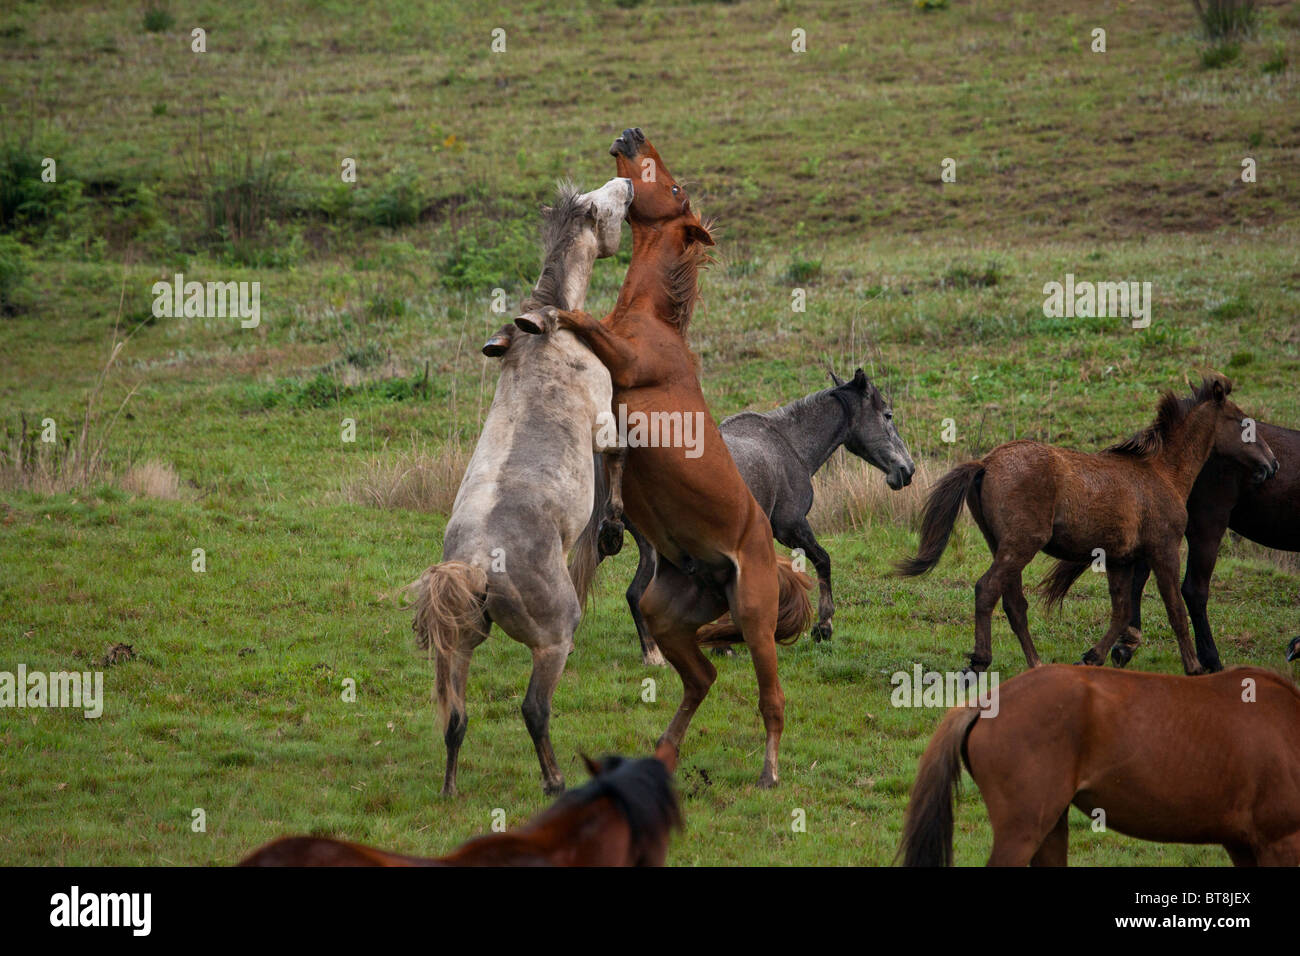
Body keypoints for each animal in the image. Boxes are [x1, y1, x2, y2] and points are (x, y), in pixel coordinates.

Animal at [409, 177, 633, 796]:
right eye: (600, 206)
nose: (629, 183)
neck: (545, 338)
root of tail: (475, 566)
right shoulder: (604, 420)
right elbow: (619, 459)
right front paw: (612, 528)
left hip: (459, 644)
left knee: (456, 717)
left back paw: (449, 788)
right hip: (554, 639)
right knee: (534, 708)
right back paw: (555, 780)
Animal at [520, 128, 812, 788]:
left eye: (674, 188)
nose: (631, 135)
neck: (653, 322)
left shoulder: (626, 364)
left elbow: (579, 318)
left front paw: (537, 315)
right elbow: (612, 456)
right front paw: (610, 524)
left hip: (754, 618)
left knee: (772, 697)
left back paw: (769, 772)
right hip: (669, 612)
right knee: (702, 677)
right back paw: (664, 754)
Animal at [588, 369, 913, 664]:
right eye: (888, 415)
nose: (907, 470)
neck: (789, 444)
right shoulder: (790, 526)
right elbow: (823, 560)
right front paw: (823, 626)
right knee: (636, 594)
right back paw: (654, 655)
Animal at [896, 374, 1278, 675]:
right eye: (1243, 423)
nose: (1271, 465)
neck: (1162, 472)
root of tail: (986, 463)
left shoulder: (1121, 560)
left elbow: (1122, 611)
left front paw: (1092, 657)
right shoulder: (1164, 550)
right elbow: (1175, 610)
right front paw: (1195, 667)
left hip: (1001, 544)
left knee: (1015, 604)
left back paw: (1036, 664)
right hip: (1021, 544)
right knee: (987, 589)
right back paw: (979, 662)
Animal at [1116, 415, 1299, 672]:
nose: (1271, 466)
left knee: (1140, 574)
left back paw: (1125, 645)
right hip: (1207, 525)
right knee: (1194, 590)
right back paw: (1211, 660)